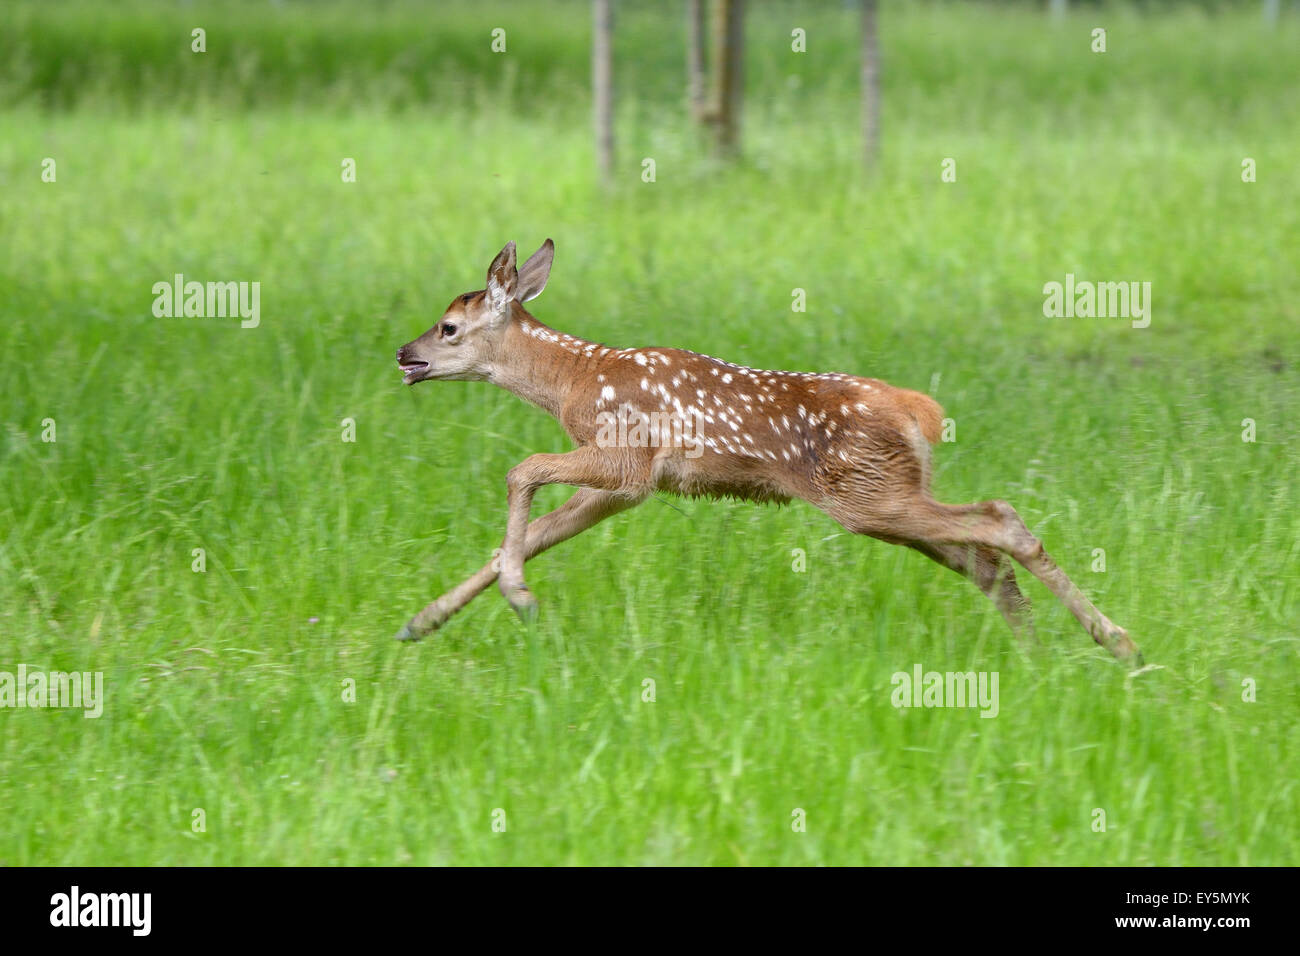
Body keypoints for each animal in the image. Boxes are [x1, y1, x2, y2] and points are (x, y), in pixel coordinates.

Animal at [393, 239, 1142, 665]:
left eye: (449, 326)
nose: (404, 353)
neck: (573, 382)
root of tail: (915, 408)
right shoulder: (627, 489)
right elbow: (538, 532)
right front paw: (422, 620)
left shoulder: (628, 455)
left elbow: (521, 471)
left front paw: (520, 597)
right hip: (891, 495)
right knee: (983, 558)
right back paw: (1044, 655)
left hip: (867, 496)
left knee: (1000, 520)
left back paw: (1119, 644)